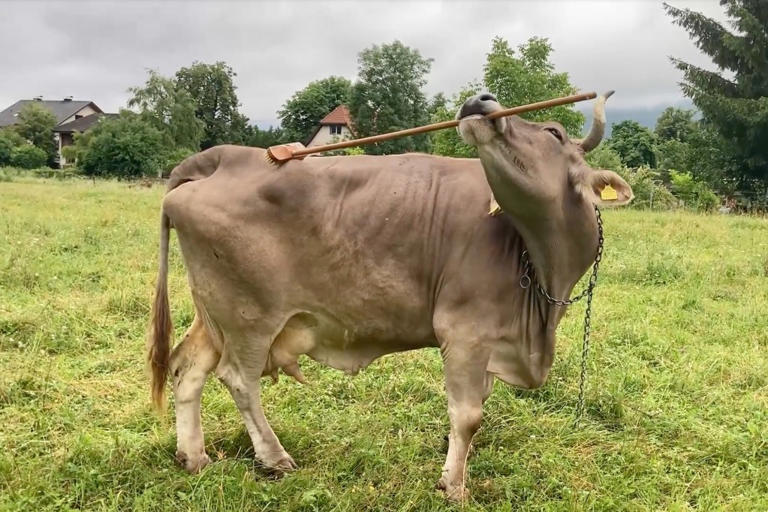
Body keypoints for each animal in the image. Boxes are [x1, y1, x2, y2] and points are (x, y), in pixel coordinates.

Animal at [147, 92, 633, 500]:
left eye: (552, 133)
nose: (480, 99)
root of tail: (227, 155)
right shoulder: (465, 331)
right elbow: (468, 415)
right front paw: (453, 486)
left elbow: (475, 406)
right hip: (249, 315)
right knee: (238, 379)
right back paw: (274, 456)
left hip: (213, 311)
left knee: (187, 367)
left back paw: (194, 456)